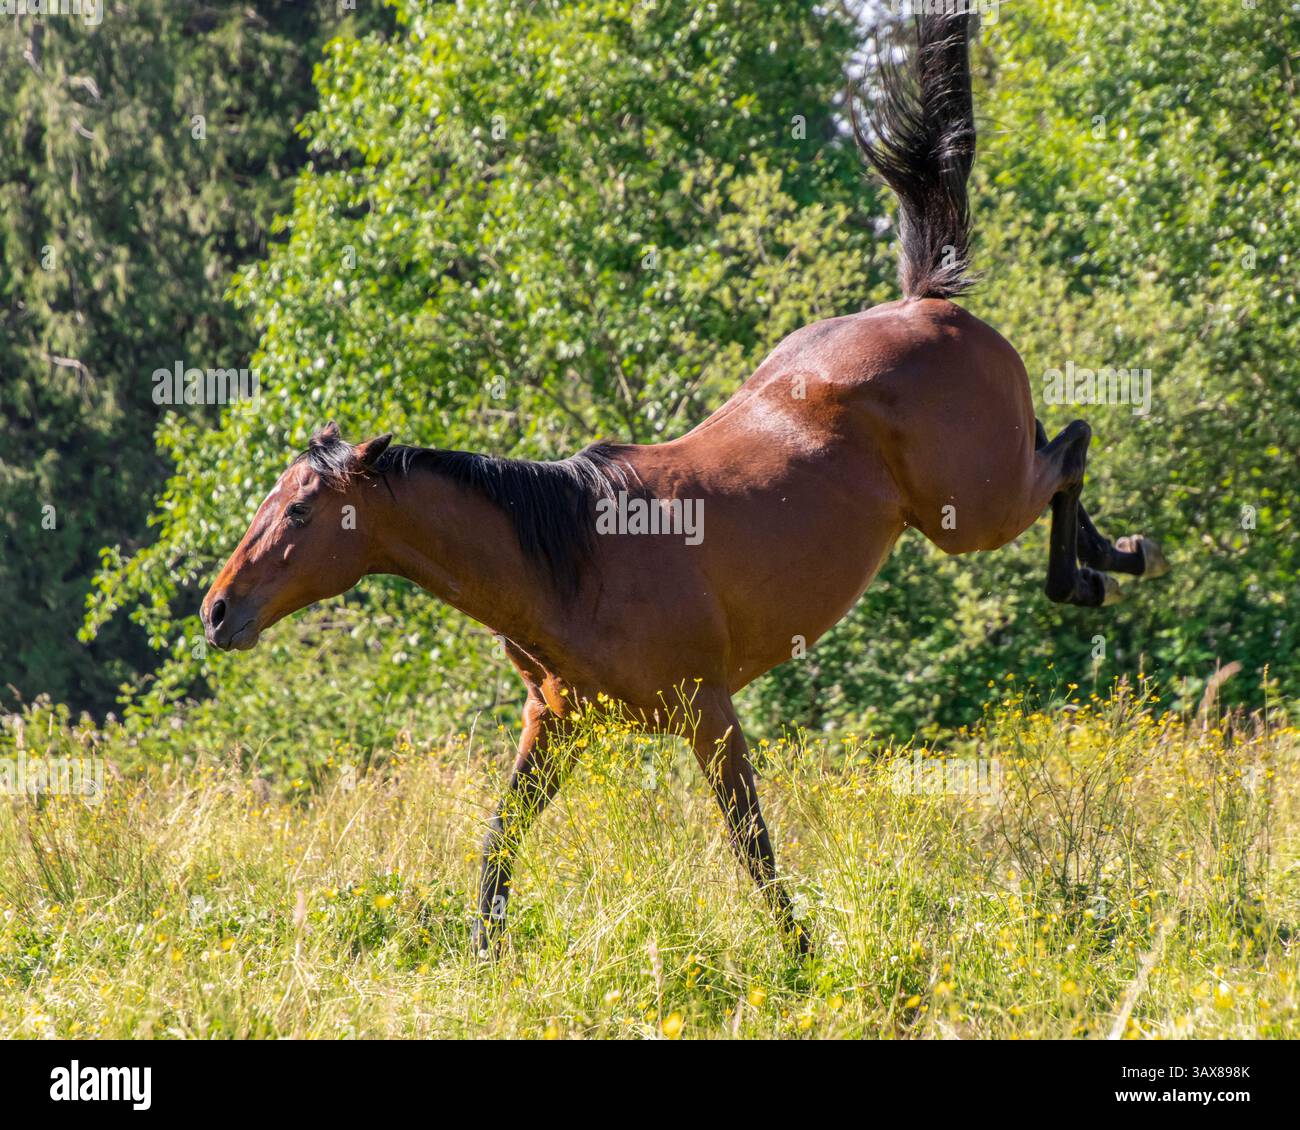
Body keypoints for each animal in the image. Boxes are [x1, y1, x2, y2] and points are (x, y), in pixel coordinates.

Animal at [201, 11, 1168, 957]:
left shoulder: (708, 713)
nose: (215, 612)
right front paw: (485, 953)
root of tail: (927, 300)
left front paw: (800, 955)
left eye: (298, 510)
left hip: (970, 512)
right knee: (1061, 451)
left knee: (1072, 448)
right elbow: (499, 838)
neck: (571, 561)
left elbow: (751, 844)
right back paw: (1113, 558)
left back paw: (1108, 566)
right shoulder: (557, 725)